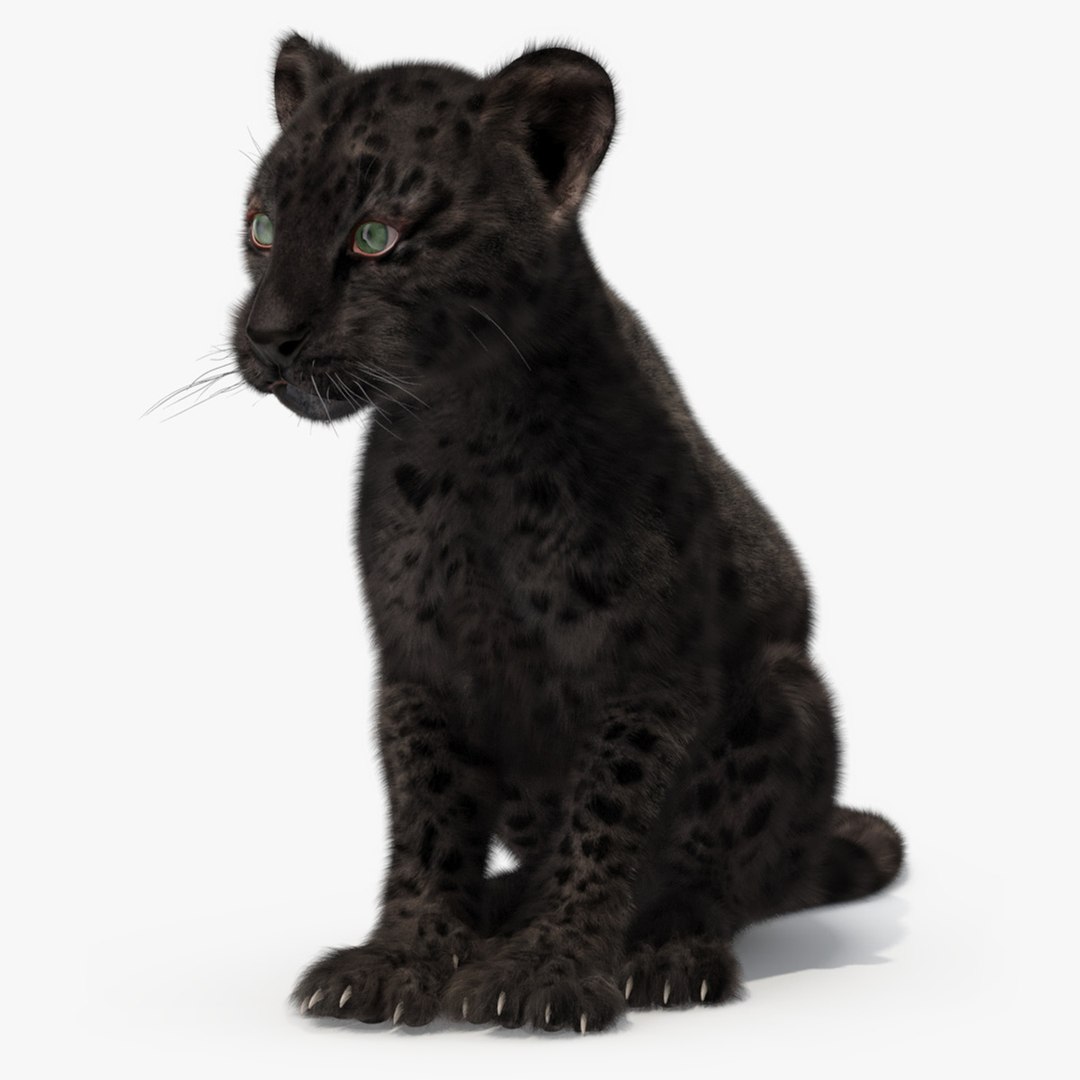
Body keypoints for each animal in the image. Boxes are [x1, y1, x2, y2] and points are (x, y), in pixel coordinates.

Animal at [228, 33, 904, 1034]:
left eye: (376, 237)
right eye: (265, 228)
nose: (268, 337)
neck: (457, 432)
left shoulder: (645, 668)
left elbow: (608, 820)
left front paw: (545, 971)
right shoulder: (422, 664)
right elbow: (427, 819)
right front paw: (401, 959)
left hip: (789, 697)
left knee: (720, 880)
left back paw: (665, 955)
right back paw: (502, 909)